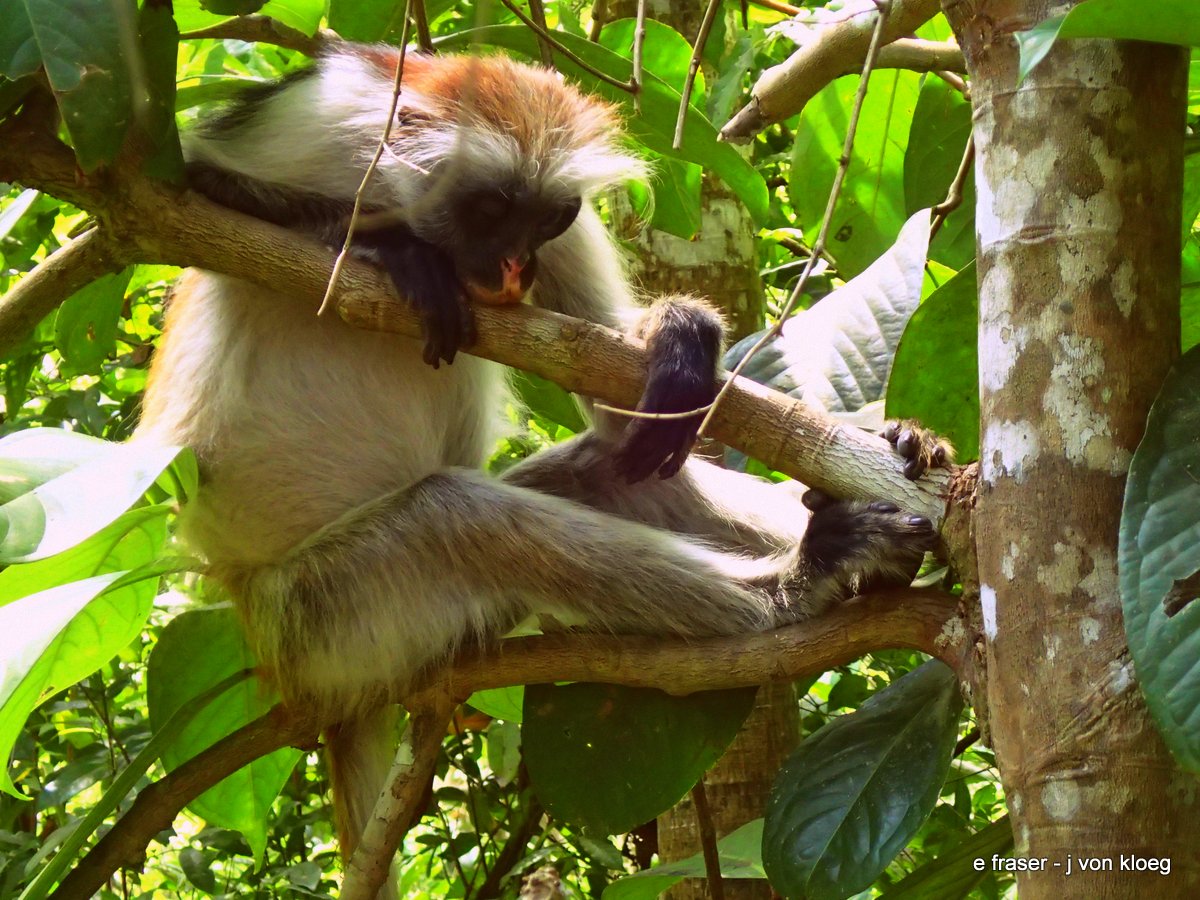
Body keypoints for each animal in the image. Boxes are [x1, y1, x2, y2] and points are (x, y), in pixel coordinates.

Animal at [134, 45, 949, 897]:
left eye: (545, 218)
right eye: (491, 209)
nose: (514, 266)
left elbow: (626, 420)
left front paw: (682, 333)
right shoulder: (317, 116)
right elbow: (174, 197)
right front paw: (386, 250)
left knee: (627, 469)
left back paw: (882, 499)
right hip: (323, 614)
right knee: (458, 513)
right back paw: (803, 578)